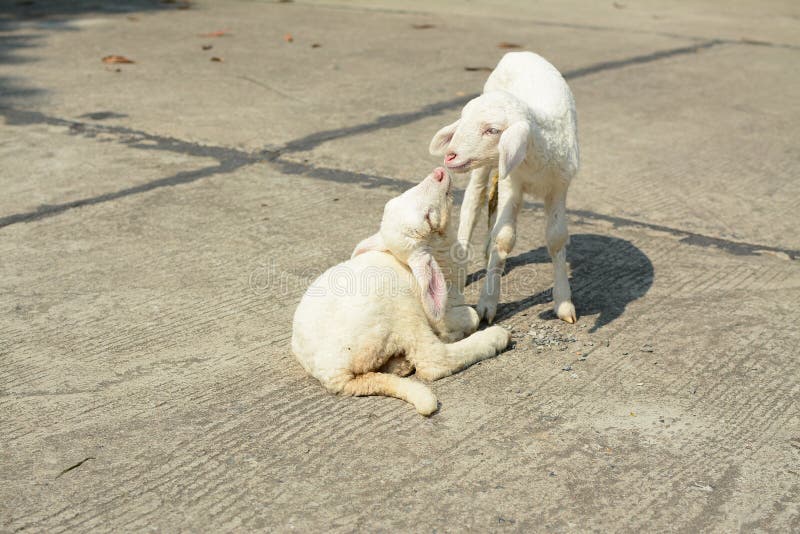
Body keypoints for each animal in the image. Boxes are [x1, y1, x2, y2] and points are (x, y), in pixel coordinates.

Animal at [291, 168, 511, 415]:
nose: (439, 172)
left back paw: (401, 364)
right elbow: (470, 316)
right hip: (401, 311)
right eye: (429, 217)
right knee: (433, 361)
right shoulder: (443, 312)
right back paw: (495, 337)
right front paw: (457, 330)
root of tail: (332, 373)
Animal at [429, 51, 580, 325]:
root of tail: (517, 53)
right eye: (463, 121)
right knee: (474, 199)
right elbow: (505, 237)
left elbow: (556, 238)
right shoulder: (514, 184)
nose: (450, 155)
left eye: (492, 130)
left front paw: (563, 302)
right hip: (482, 167)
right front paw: (488, 302)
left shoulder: (559, 186)